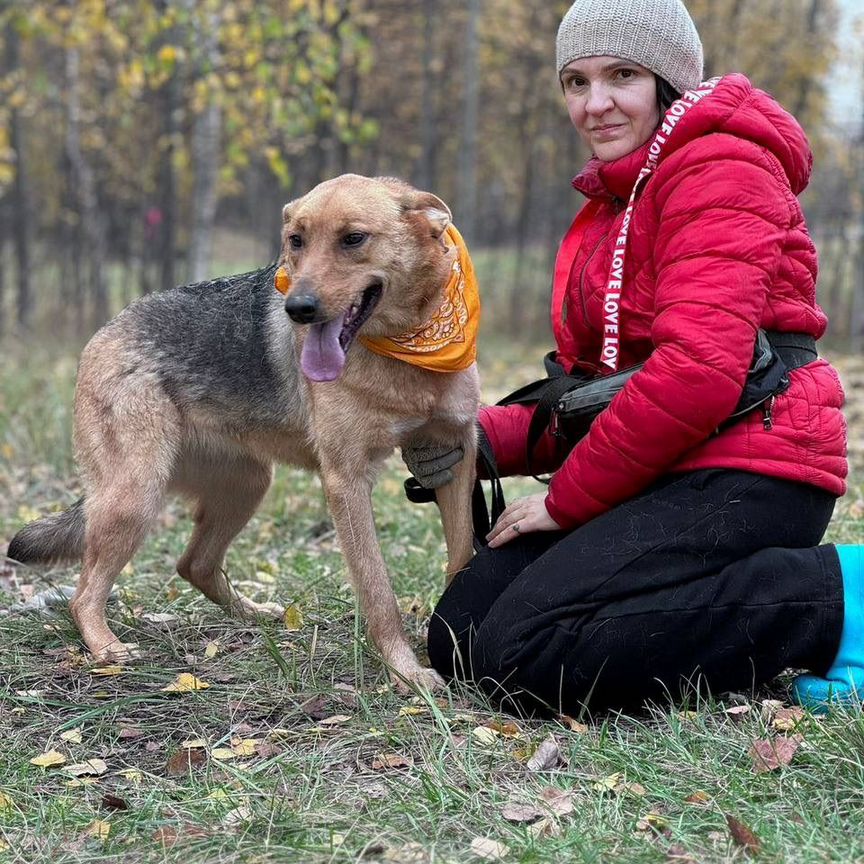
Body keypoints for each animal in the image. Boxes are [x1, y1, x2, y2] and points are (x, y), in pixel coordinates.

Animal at [6, 174, 480, 688]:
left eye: (353, 239)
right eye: (296, 241)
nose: (297, 308)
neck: (409, 351)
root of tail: (107, 329)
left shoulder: (454, 456)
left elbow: (461, 557)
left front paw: (452, 639)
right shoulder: (347, 481)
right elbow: (378, 591)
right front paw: (406, 673)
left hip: (247, 485)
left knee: (193, 564)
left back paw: (254, 615)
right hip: (136, 496)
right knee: (84, 593)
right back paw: (107, 649)